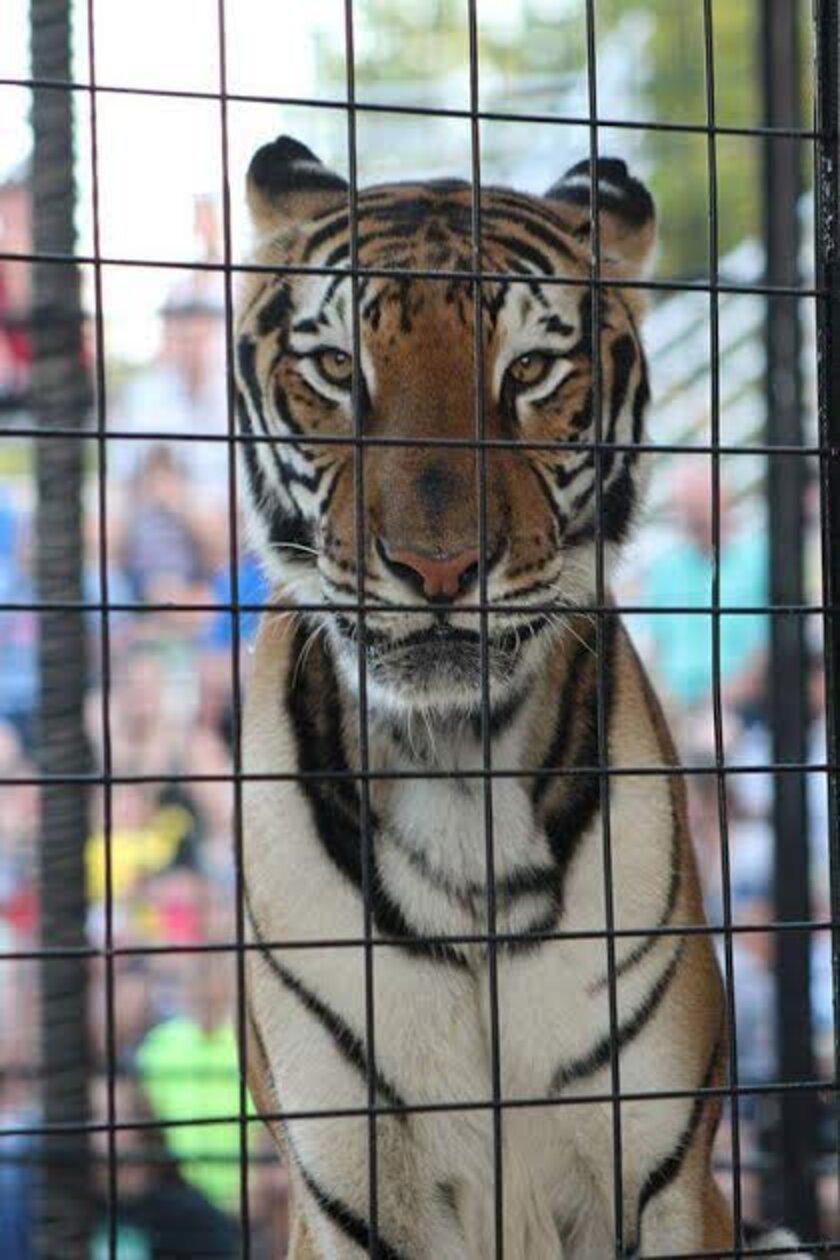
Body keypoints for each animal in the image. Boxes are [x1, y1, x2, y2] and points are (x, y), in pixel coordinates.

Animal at [235, 135, 807, 1259]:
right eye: (337, 369)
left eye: (530, 370)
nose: (438, 566)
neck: (458, 767)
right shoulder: (353, 1190)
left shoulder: (661, 1172)